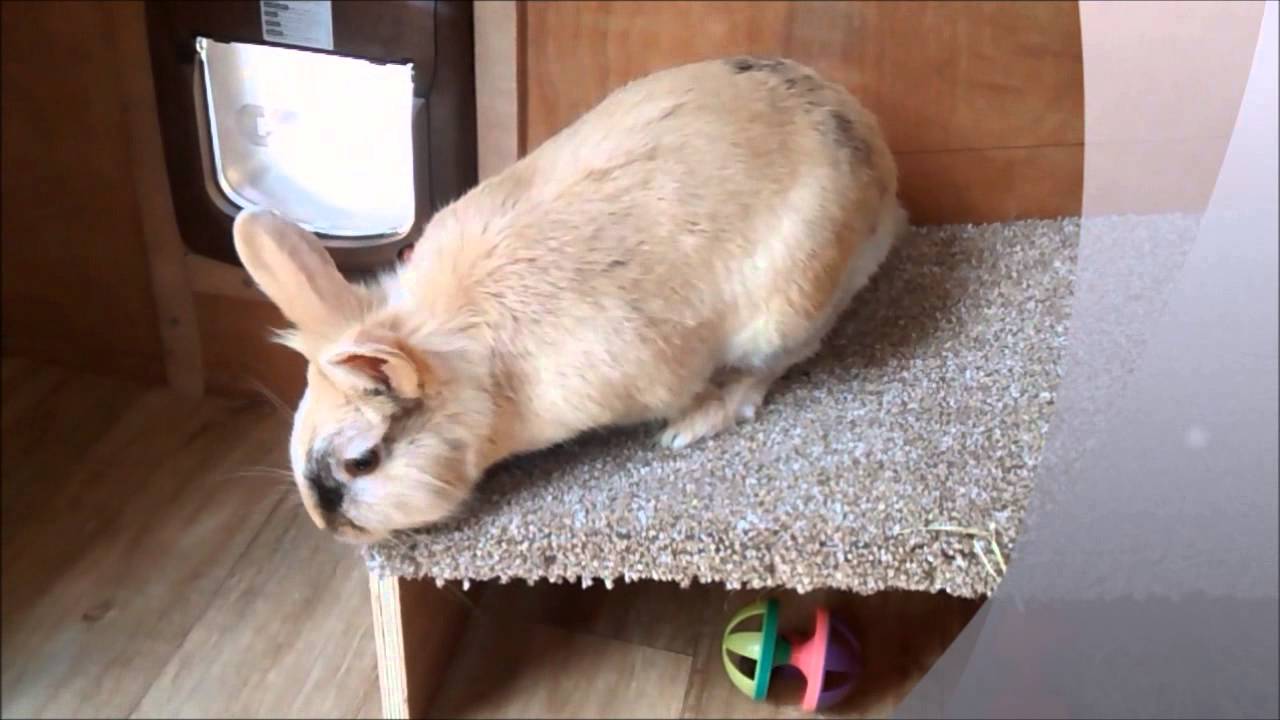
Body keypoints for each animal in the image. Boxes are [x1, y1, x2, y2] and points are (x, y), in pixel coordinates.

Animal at [233, 55, 907, 544]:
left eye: (363, 462)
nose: (330, 529)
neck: (475, 368)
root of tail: (882, 172)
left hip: (785, 306)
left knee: (774, 367)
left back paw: (694, 424)